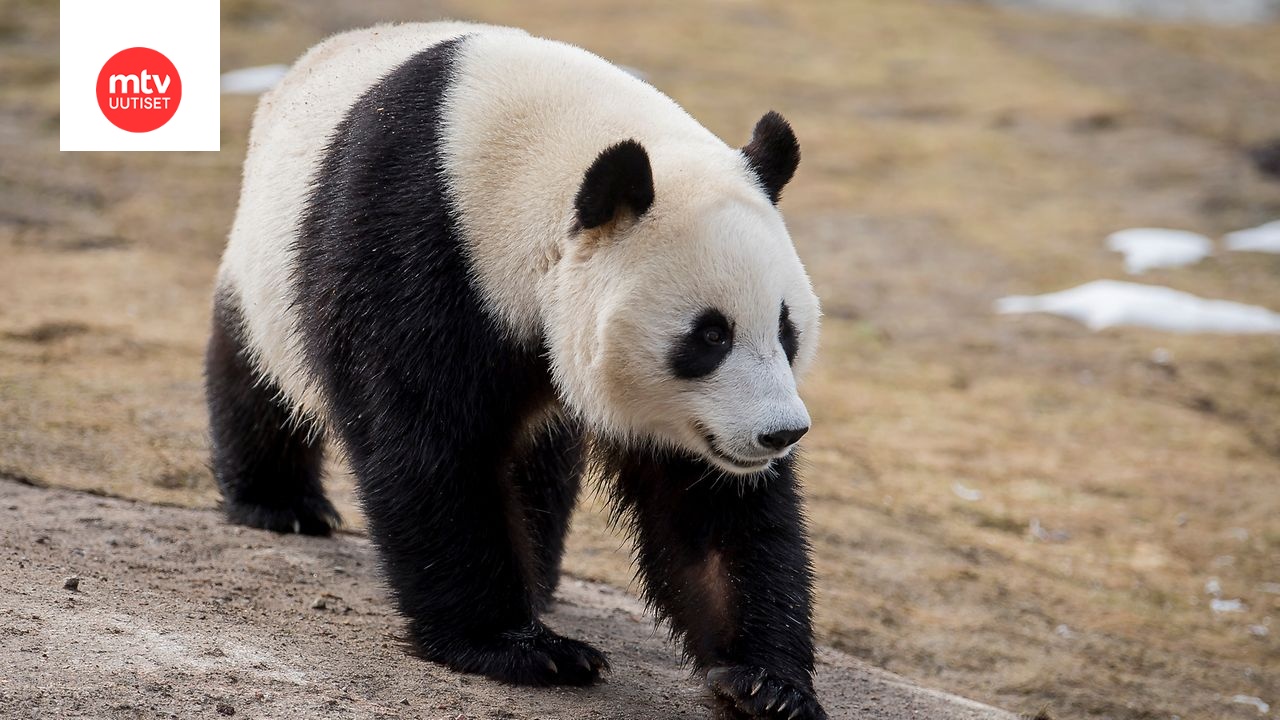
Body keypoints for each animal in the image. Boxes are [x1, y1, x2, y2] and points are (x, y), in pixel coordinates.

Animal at [207, 22, 824, 720]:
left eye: (785, 329)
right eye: (710, 335)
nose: (780, 433)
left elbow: (710, 506)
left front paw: (767, 684)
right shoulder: (412, 243)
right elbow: (428, 444)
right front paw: (521, 649)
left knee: (540, 458)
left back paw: (541, 574)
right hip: (265, 263)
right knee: (256, 374)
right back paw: (279, 504)